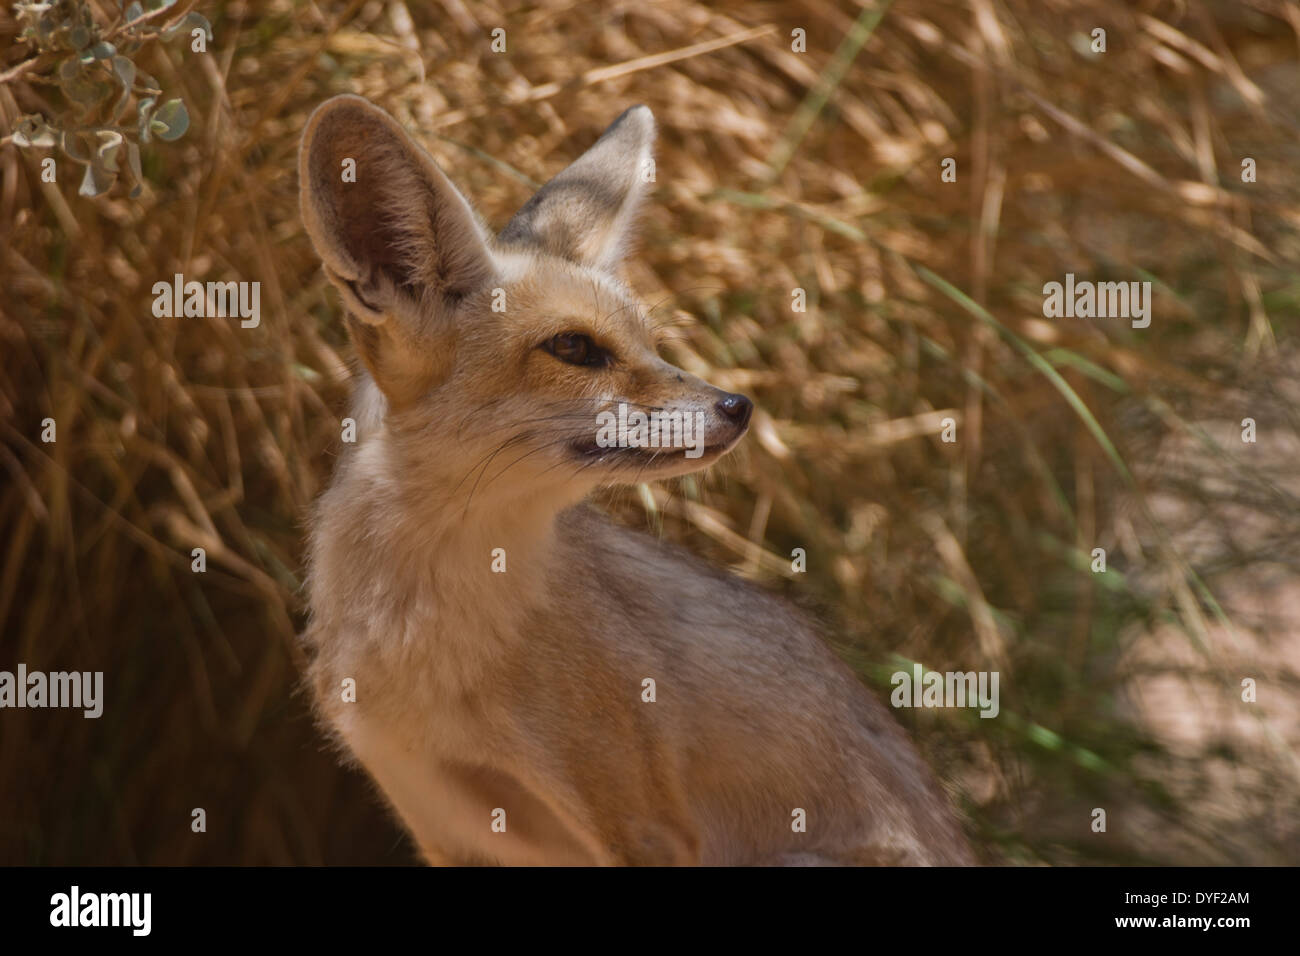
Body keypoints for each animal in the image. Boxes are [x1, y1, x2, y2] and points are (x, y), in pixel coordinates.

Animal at [297, 93, 974, 866]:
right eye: (574, 347)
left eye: (649, 344)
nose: (738, 407)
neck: (424, 644)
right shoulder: (442, 820)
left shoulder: (644, 829)